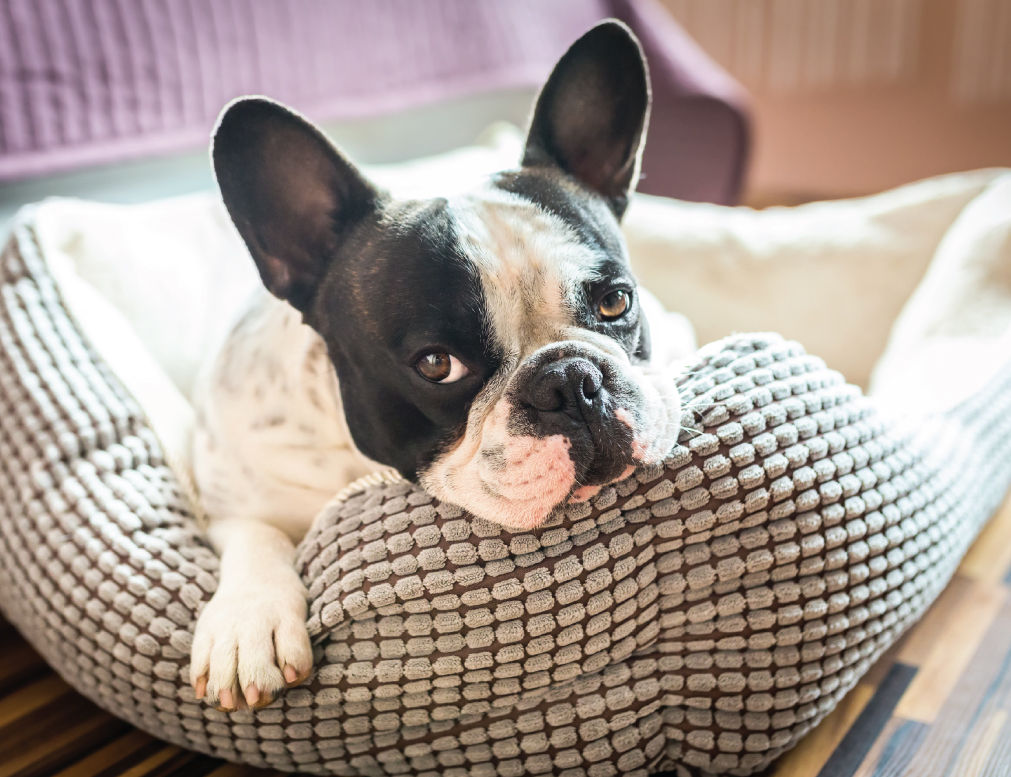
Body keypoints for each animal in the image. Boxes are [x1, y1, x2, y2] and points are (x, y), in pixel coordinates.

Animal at [189, 19, 687, 711]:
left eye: (616, 301)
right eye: (436, 366)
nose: (571, 382)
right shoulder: (226, 489)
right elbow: (257, 533)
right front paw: (248, 620)